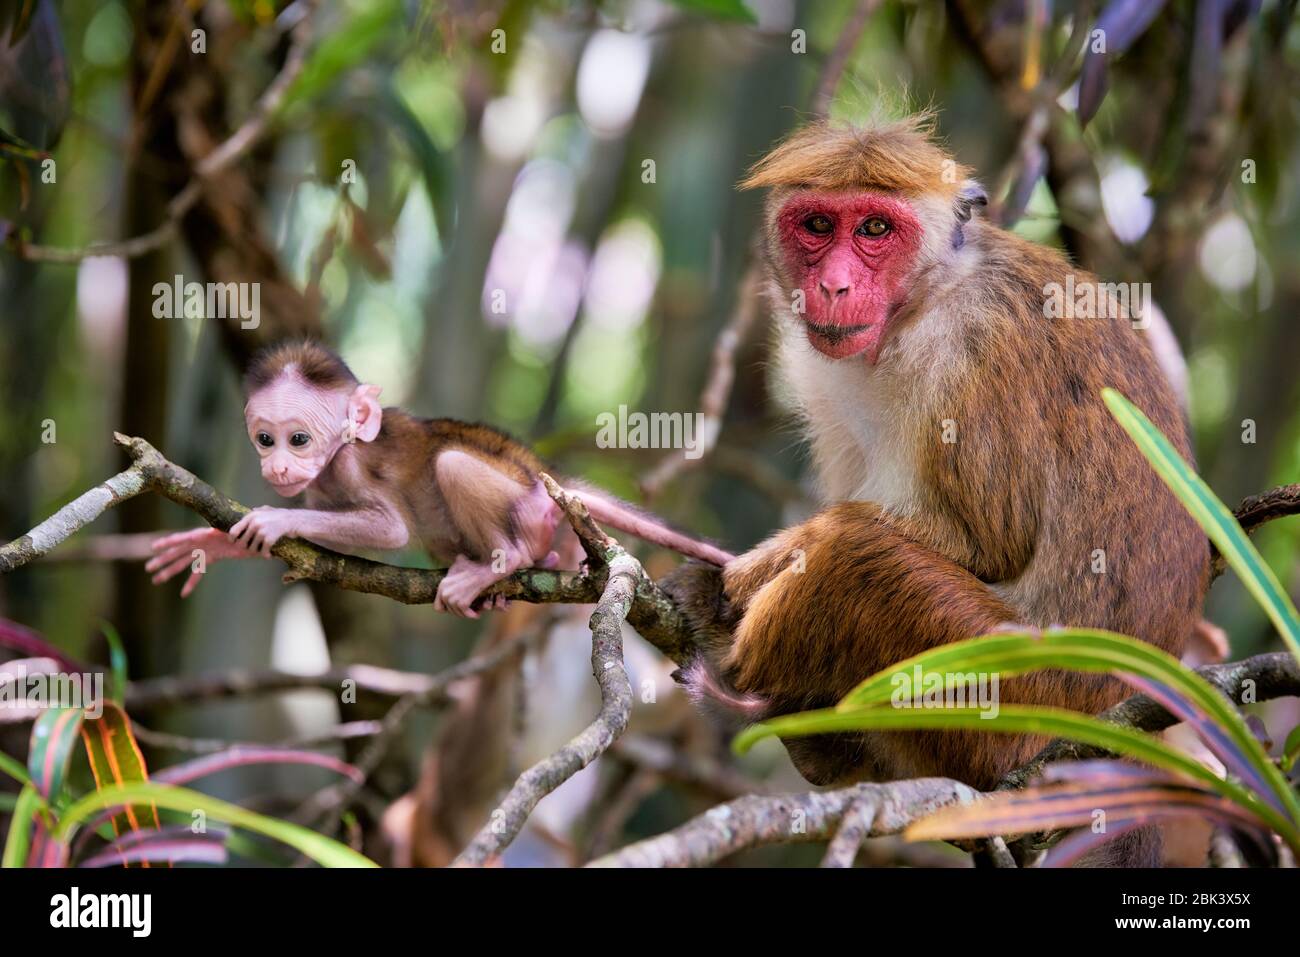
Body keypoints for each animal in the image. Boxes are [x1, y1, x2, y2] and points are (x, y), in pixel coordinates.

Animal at [146, 340, 733, 617]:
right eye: (265, 440)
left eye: (299, 440)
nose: (277, 468)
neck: (336, 458)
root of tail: (540, 475)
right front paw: (213, 542)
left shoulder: (350, 467)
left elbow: (390, 531)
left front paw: (272, 520)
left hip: (527, 501)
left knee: (450, 463)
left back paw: (508, 561)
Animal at [659, 117, 1209, 864]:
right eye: (818, 224)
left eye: (875, 230)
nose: (833, 284)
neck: (925, 299)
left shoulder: (972, 350)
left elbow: (989, 541)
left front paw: (756, 569)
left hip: (1002, 695)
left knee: (856, 558)